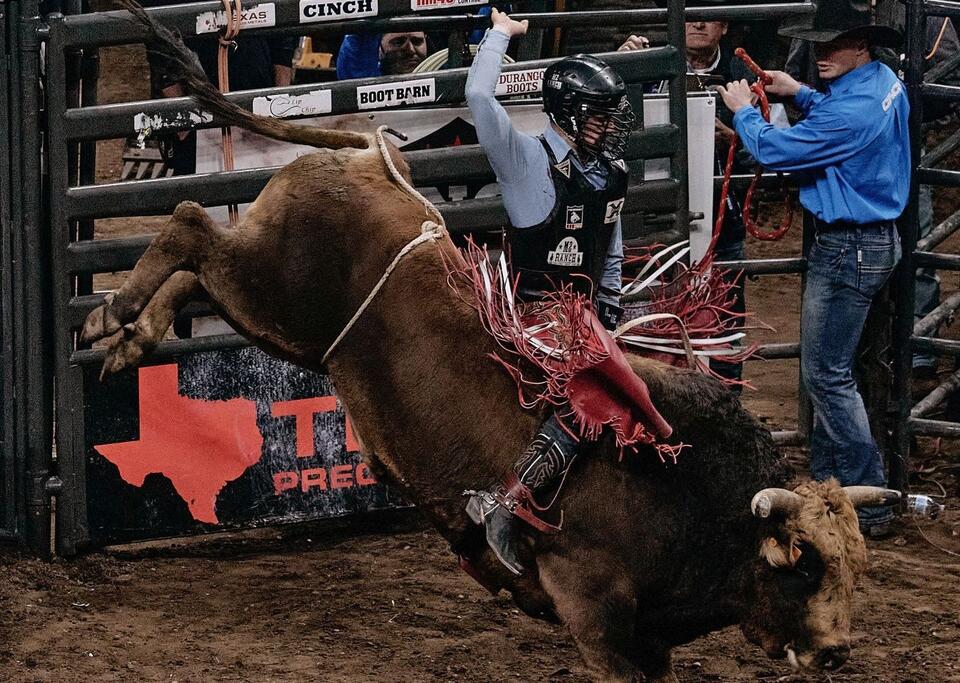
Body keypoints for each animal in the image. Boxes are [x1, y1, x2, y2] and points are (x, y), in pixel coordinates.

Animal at [83, 4, 900, 680]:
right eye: (804, 565)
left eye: (855, 567)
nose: (837, 650)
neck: (694, 488)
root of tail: (369, 157)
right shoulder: (596, 611)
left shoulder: (650, 637)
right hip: (275, 289)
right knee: (189, 220)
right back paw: (109, 315)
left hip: (282, 321)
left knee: (194, 273)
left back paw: (132, 337)